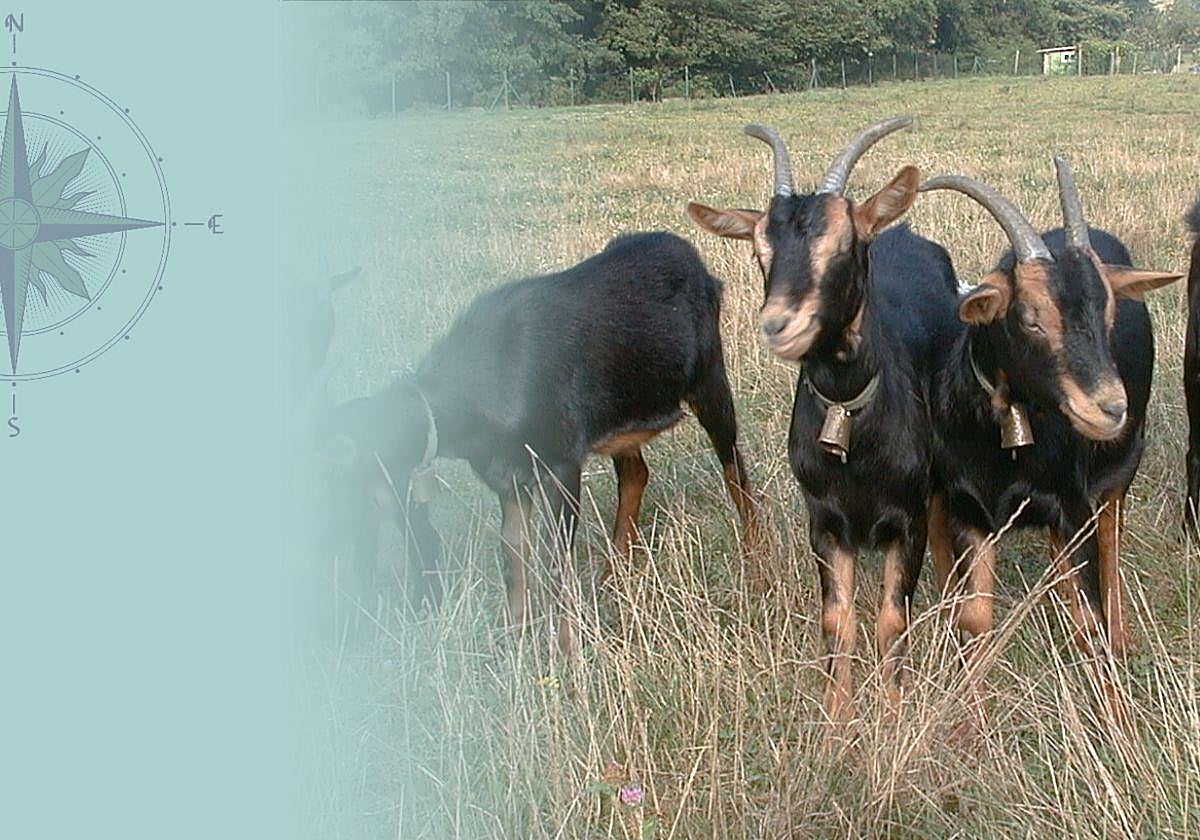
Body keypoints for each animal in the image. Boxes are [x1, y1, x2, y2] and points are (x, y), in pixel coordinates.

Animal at [316, 232, 762, 650]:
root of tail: (698, 264)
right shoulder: (507, 477)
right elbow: (513, 552)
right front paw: (514, 636)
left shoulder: (559, 459)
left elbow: (555, 559)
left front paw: (566, 649)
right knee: (636, 472)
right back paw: (612, 573)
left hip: (709, 376)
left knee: (732, 462)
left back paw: (756, 552)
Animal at [687, 117, 958, 722]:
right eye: (760, 247)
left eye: (844, 241)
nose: (778, 325)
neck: (849, 418)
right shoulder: (826, 523)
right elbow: (839, 622)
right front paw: (837, 716)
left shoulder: (906, 519)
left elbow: (891, 619)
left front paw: (894, 712)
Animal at [919, 161, 1181, 695]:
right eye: (1029, 316)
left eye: (1109, 310)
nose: (1110, 408)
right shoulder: (971, 513)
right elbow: (976, 619)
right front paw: (966, 706)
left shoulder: (1074, 506)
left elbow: (1091, 615)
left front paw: (1115, 709)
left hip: (1119, 471)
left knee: (1110, 543)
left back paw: (1122, 636)